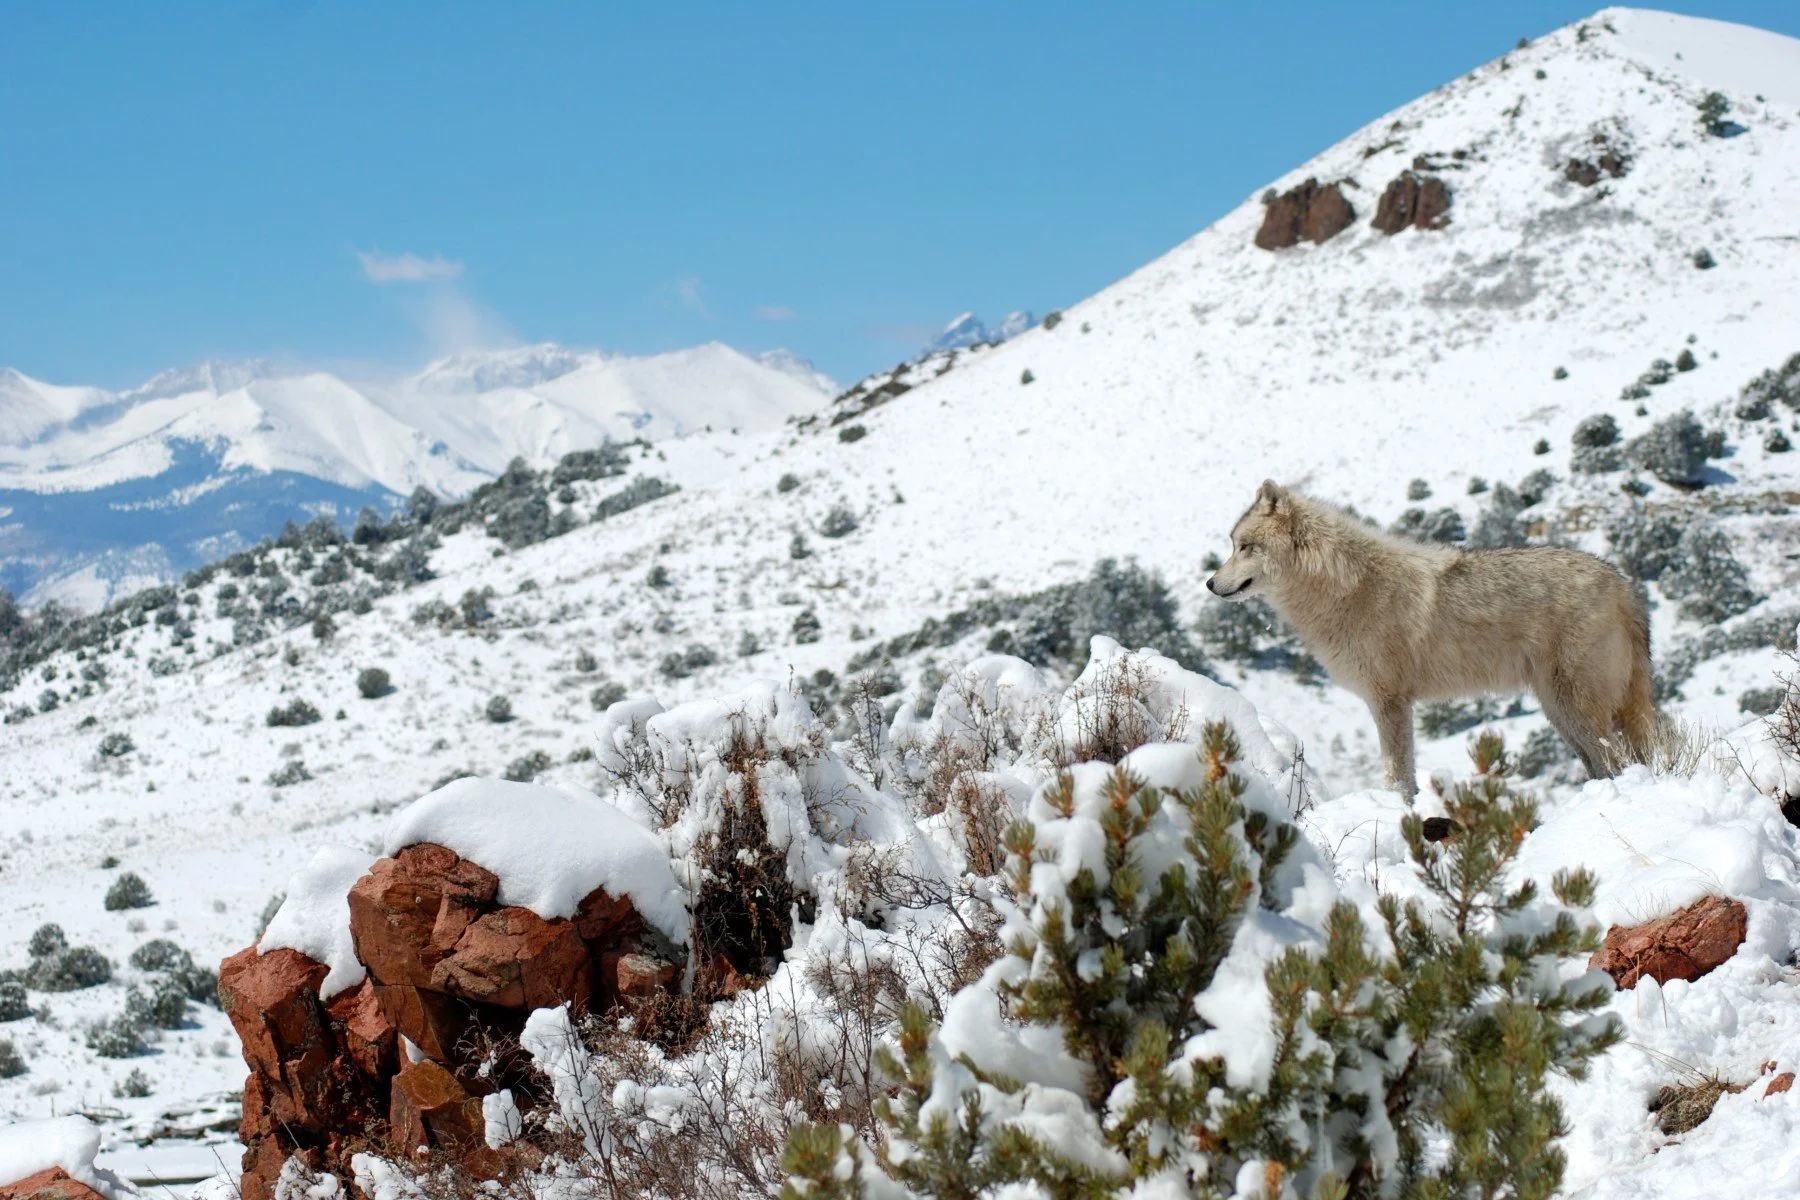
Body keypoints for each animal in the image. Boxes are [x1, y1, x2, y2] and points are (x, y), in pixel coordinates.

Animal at [1206, 480, 1656, 795]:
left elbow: (1398, 775)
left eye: (1245, 547)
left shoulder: (1390, 702)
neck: (1347, 587)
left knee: (1618, 760)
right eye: (1233, 546)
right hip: (1561, 713)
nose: (1210, 583)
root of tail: (1624, 584)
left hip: (1574, 706)